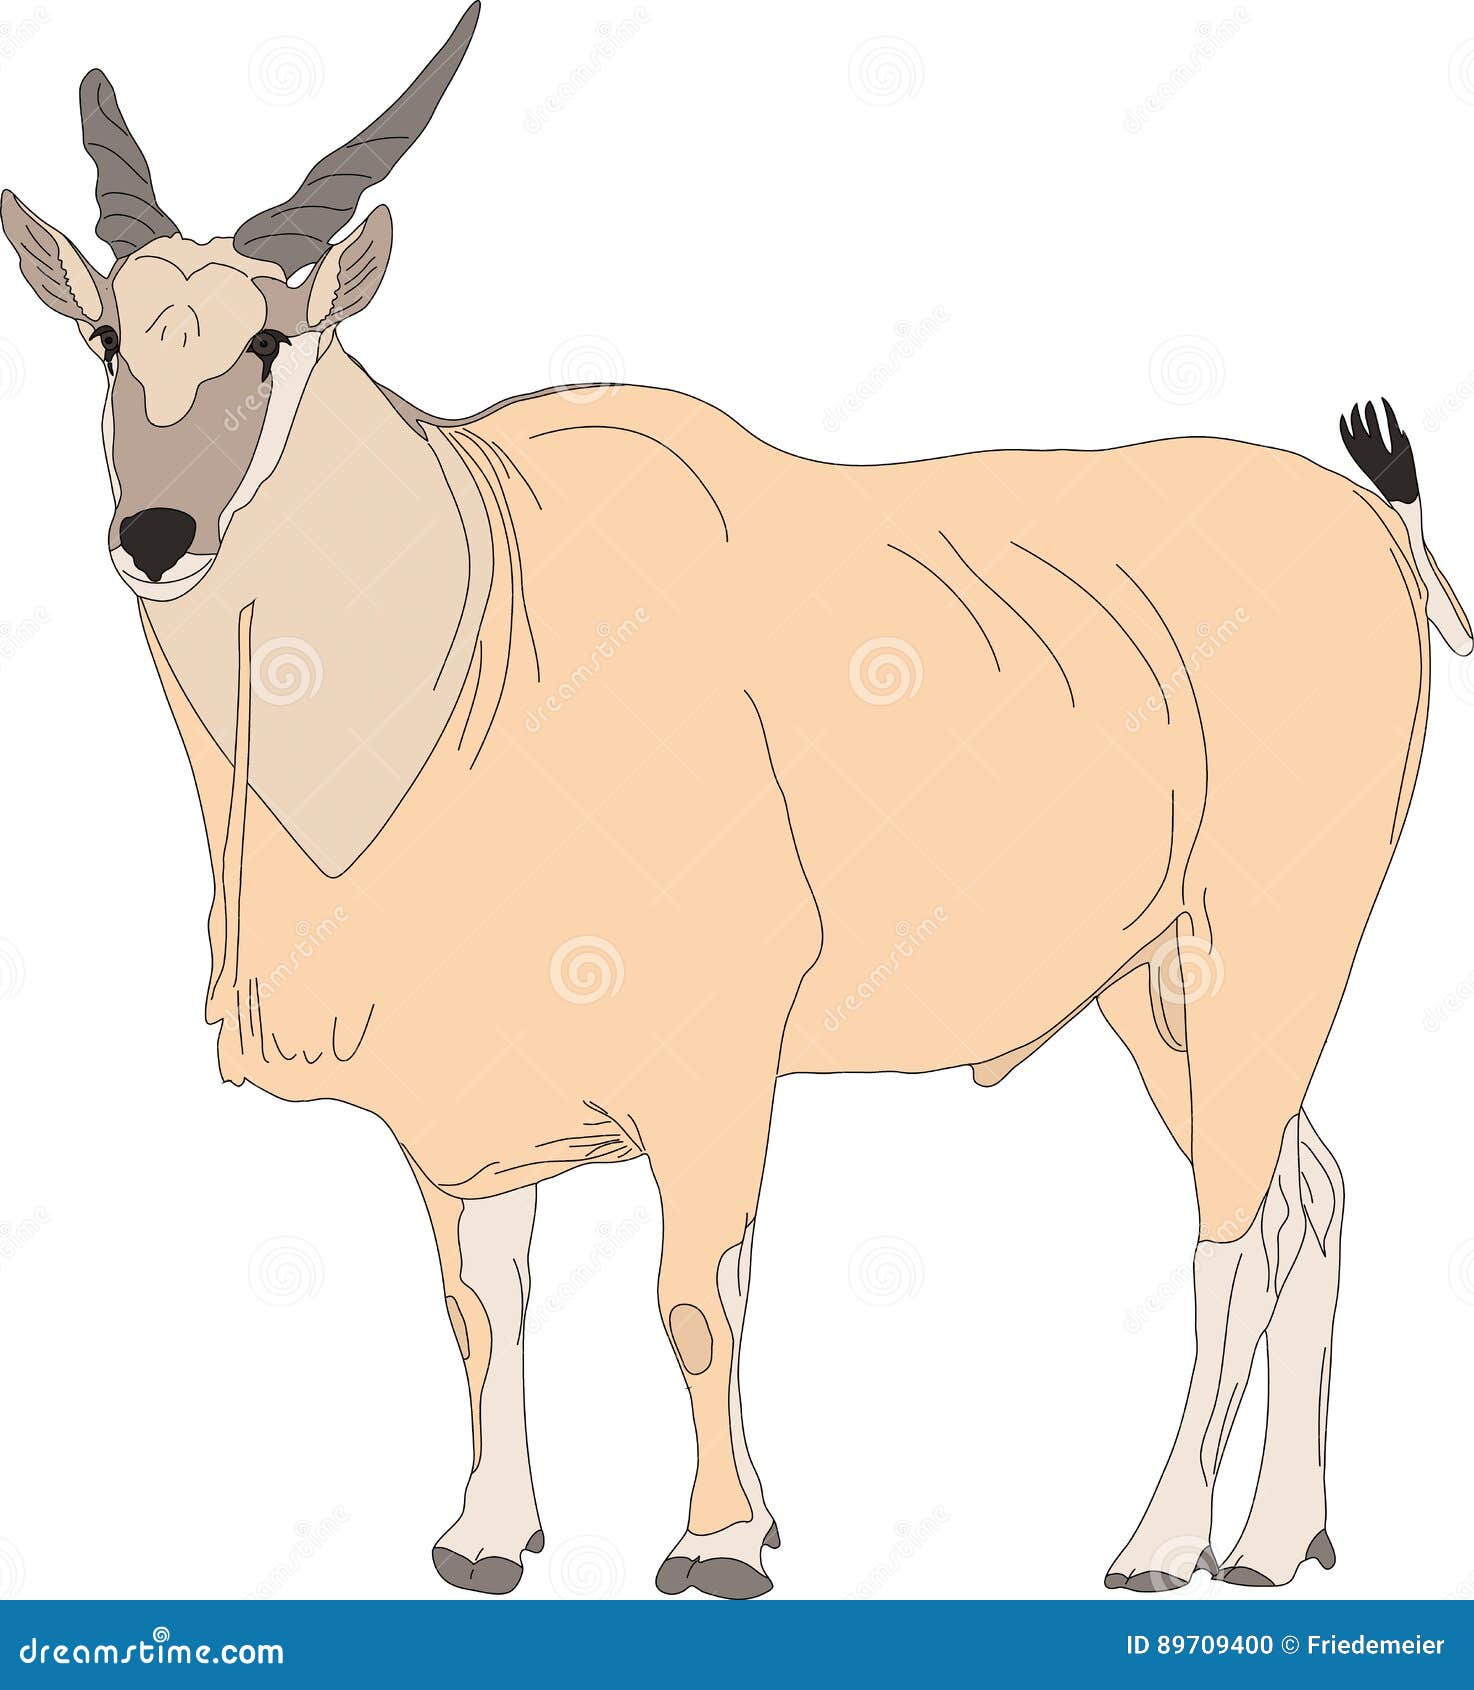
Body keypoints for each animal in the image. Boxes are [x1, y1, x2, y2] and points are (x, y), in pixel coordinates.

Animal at [4, 3, 1469, 1599]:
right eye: (104, 334)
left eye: (272, 338)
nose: (155, 535)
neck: (485, 621)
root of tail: (1371, 520)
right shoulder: (469, 1107)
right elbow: (483, 1298)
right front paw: (489, 1535)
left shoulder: (711, 1062)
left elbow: (694, 1294)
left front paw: (718, 1540)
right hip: (1155, 991)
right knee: (1305, 1197)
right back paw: (1272, 1537)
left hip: (1258, 950)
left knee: (1227, 1230)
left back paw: (1159, 1540)